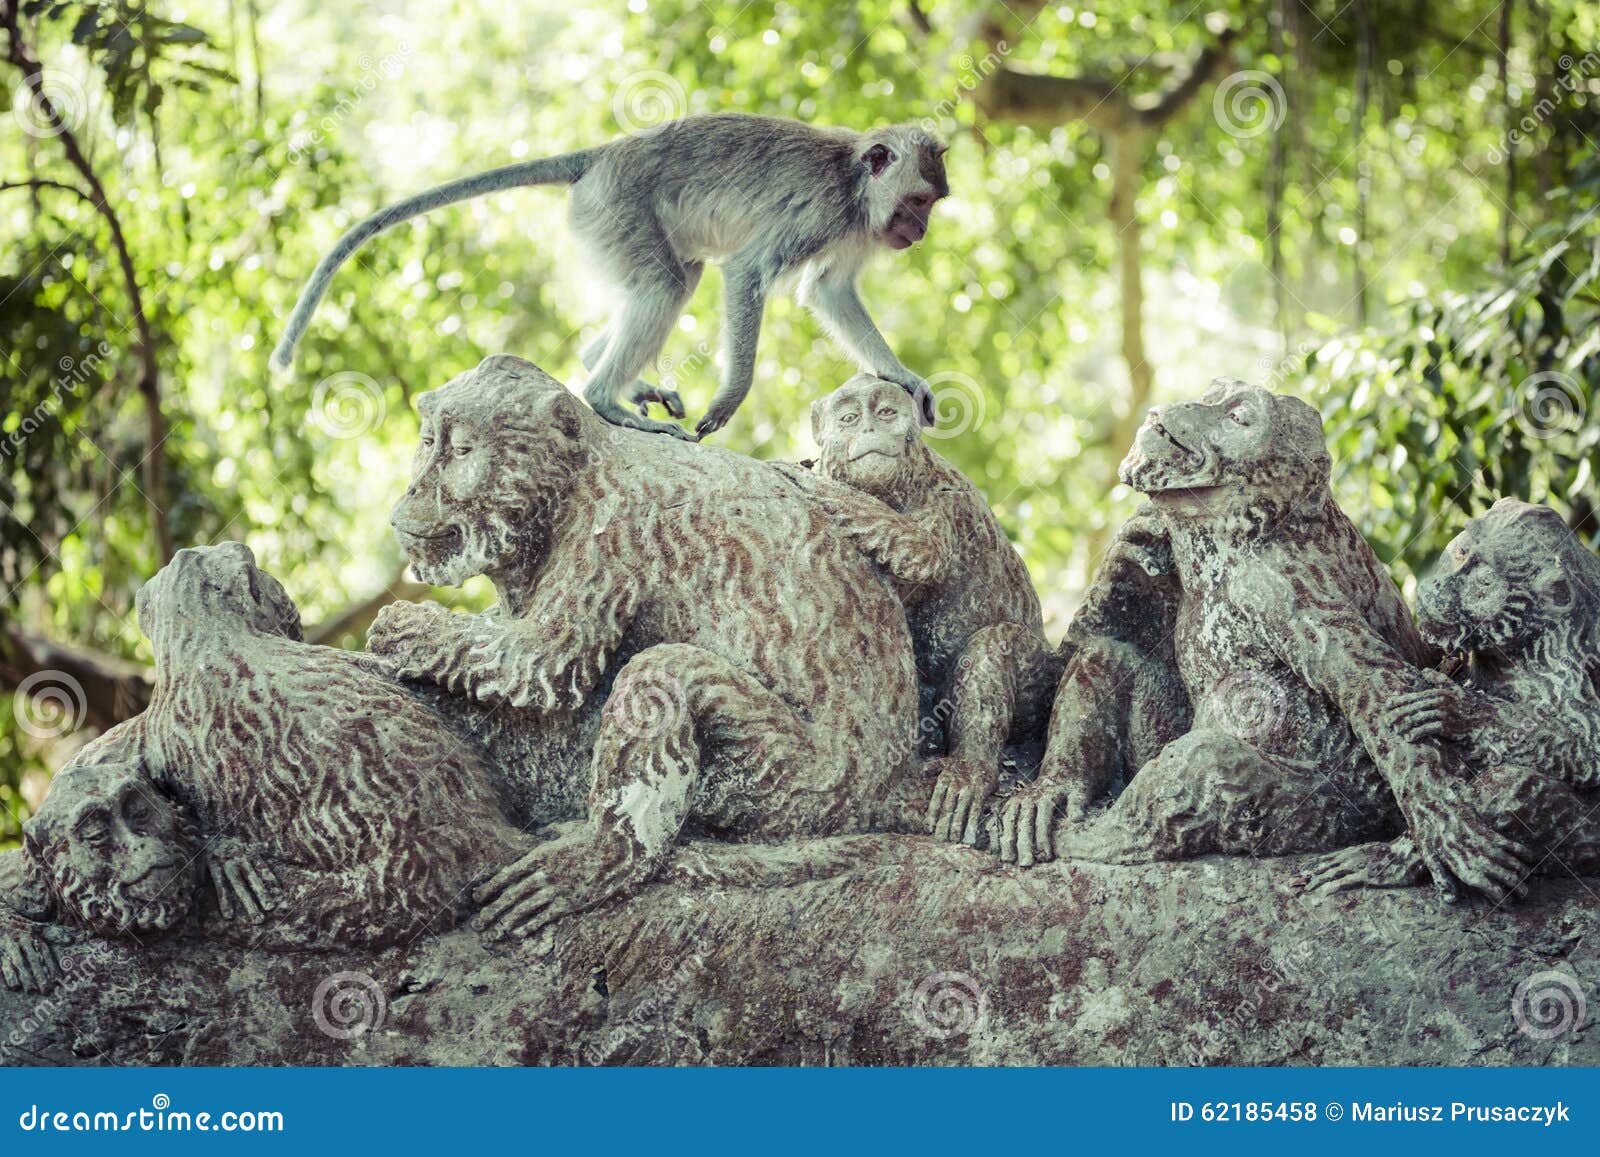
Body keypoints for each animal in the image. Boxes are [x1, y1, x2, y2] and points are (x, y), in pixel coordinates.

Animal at [271, 113, 948, 441]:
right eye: (918, 201)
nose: (920, 232)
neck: (854, 183)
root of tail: (602, 155)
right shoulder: (822, 212)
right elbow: (747, 273)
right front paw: (731, 396)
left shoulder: (853, 229)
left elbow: (828, 291)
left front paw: (901, 377)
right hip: (614, 207)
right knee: (669, 283)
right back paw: (603, 396)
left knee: (678, 274)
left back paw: (604, 366)